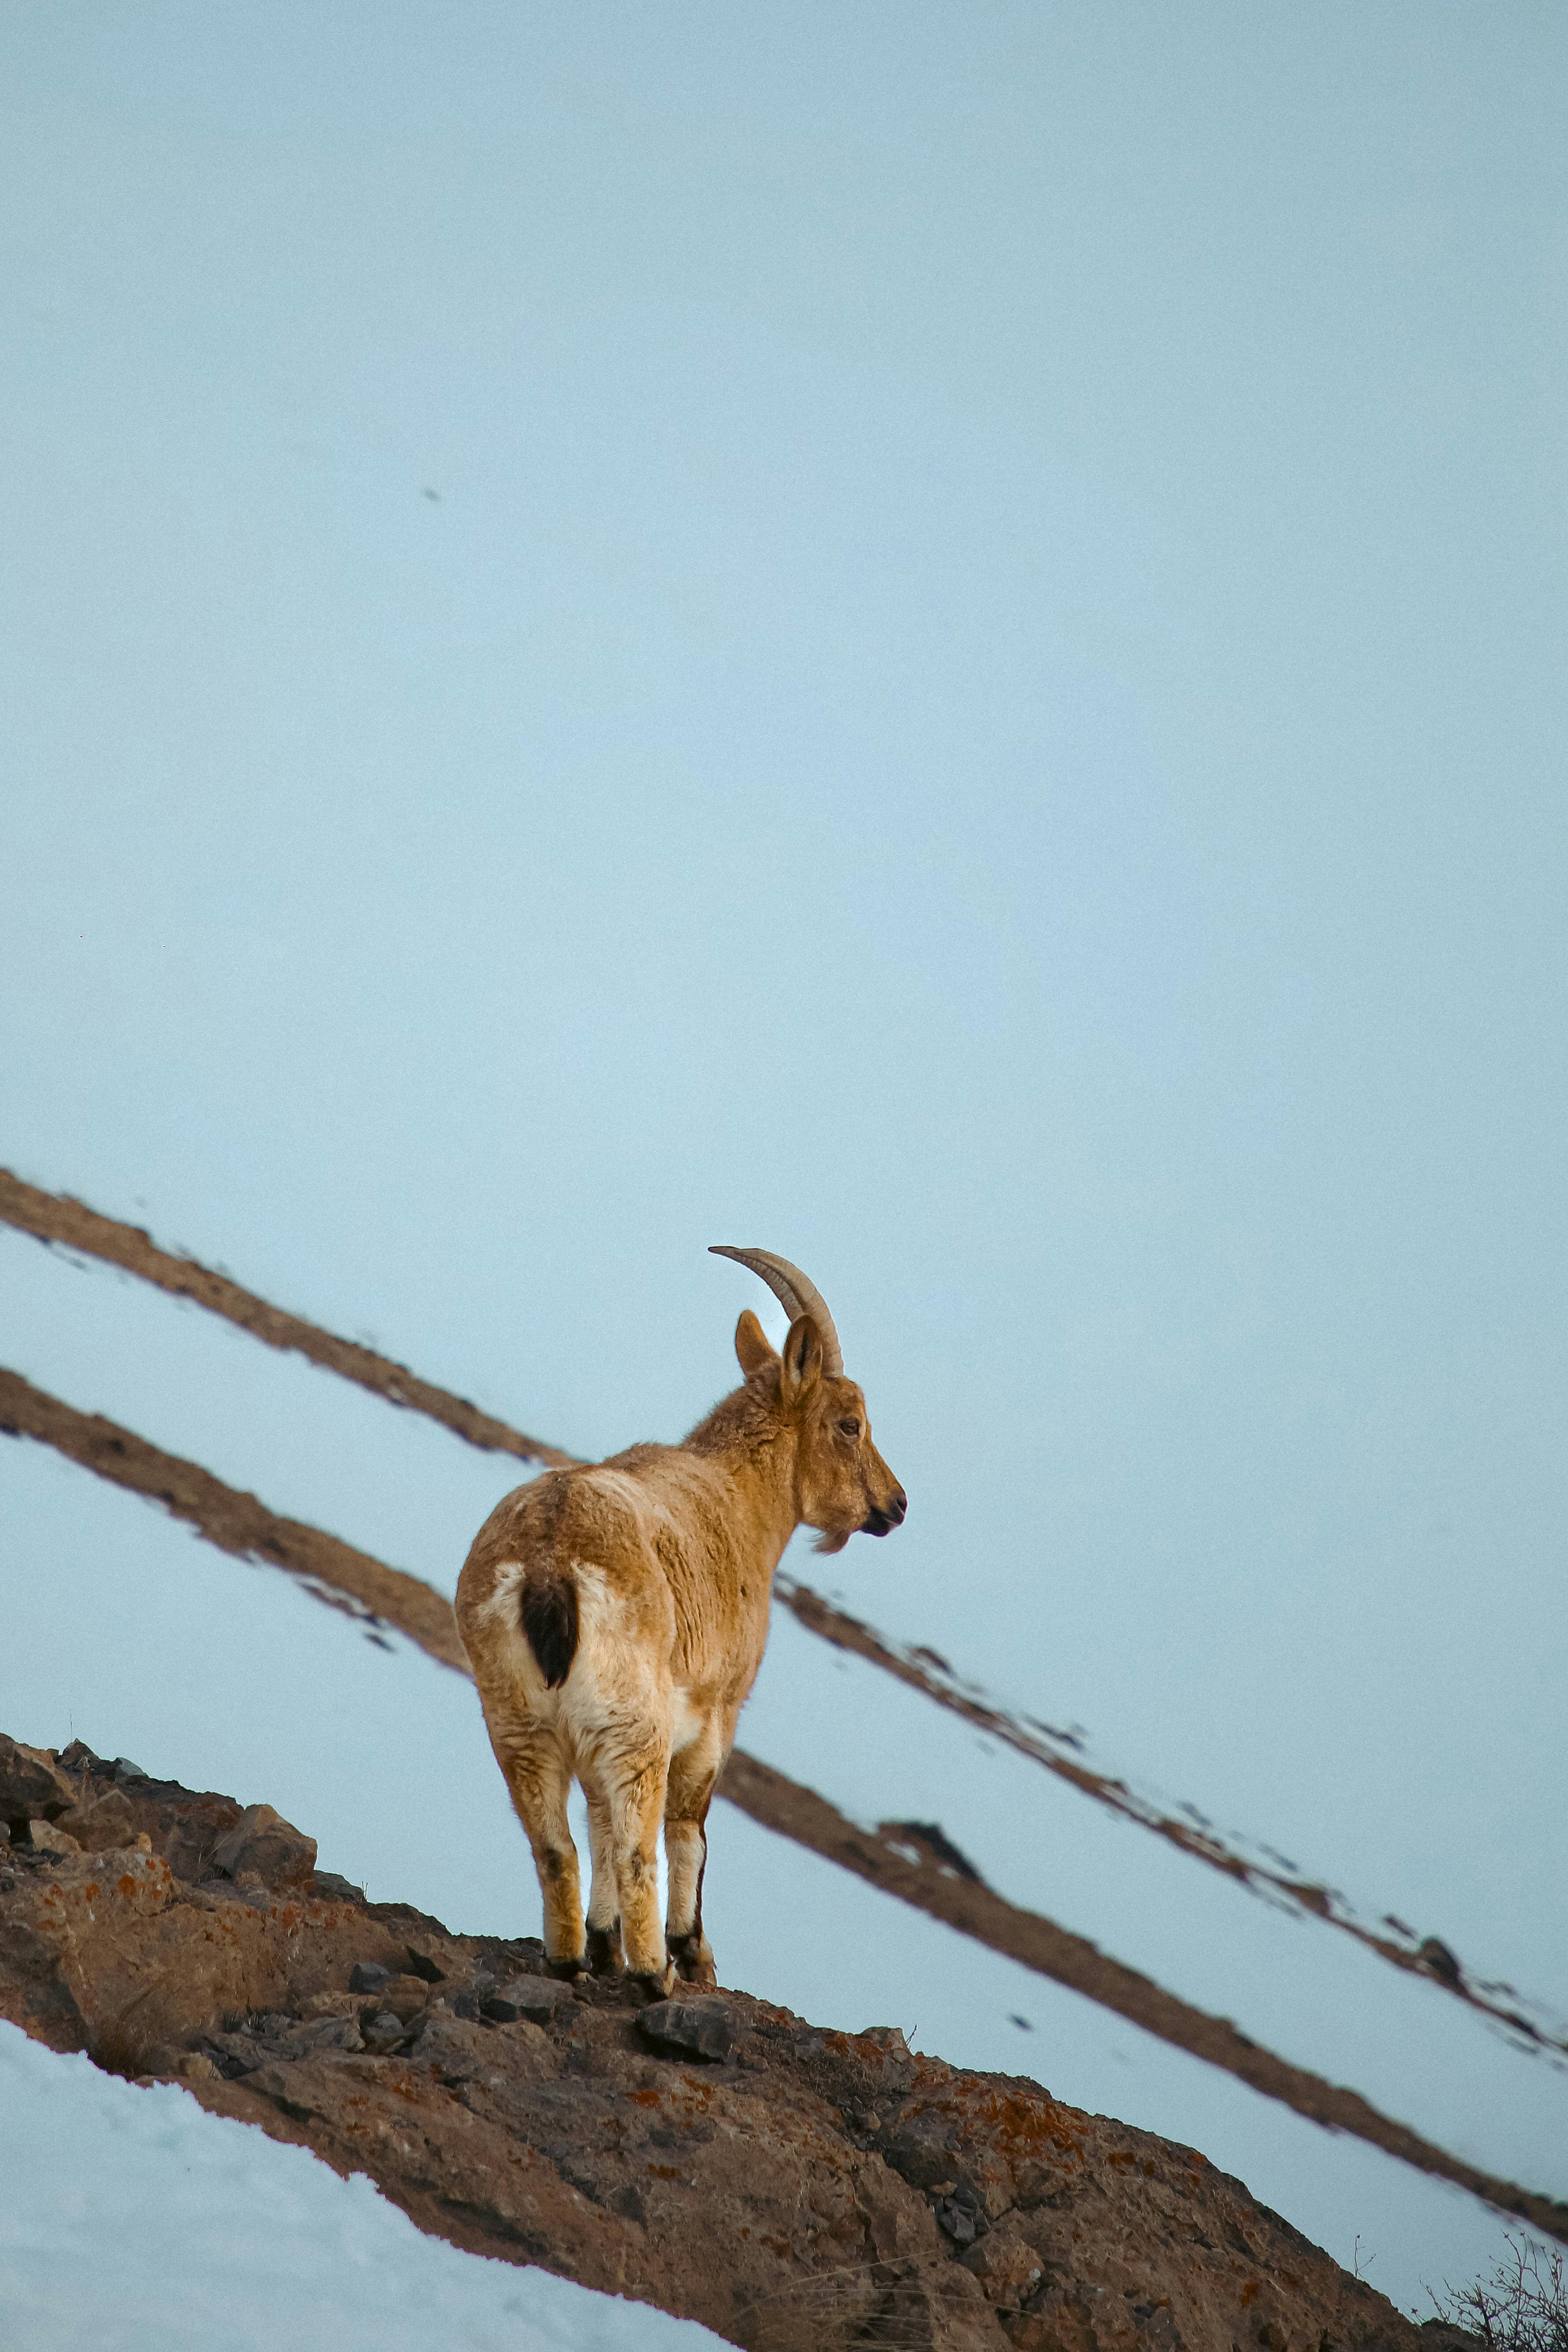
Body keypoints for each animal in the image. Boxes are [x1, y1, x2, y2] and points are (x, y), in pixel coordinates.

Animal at [455, 1248, 906, 1992]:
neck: (741, 1495)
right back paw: (651, 1974)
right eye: (850, 1422)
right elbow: (690, 1829)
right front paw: (694, 1951)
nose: (895, 1505)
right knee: (641, 1847)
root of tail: (548, 1566)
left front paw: (604, 1942)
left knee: (557, 1846)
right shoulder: (715, 1714)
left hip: (517, 1720)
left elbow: (599, 1819)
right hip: (635, 1720)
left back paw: (572, 1959)